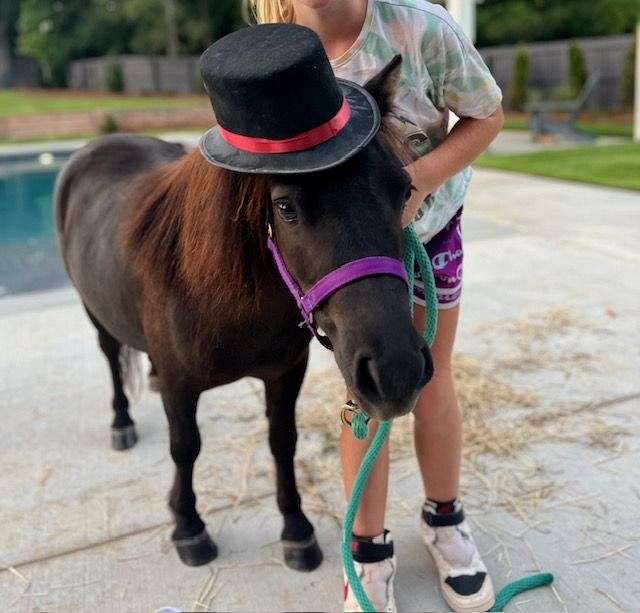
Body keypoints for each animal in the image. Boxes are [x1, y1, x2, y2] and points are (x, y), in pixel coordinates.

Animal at [54, 58, 432, 571]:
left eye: (404, 190)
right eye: (285, 207)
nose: (396, 372)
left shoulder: (285, 373)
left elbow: (282, 441)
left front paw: (296, 528)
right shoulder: (181, 386)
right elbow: (185, 447)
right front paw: (188, 526)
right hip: (94, 312)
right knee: (112, 359)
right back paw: (121, 422)